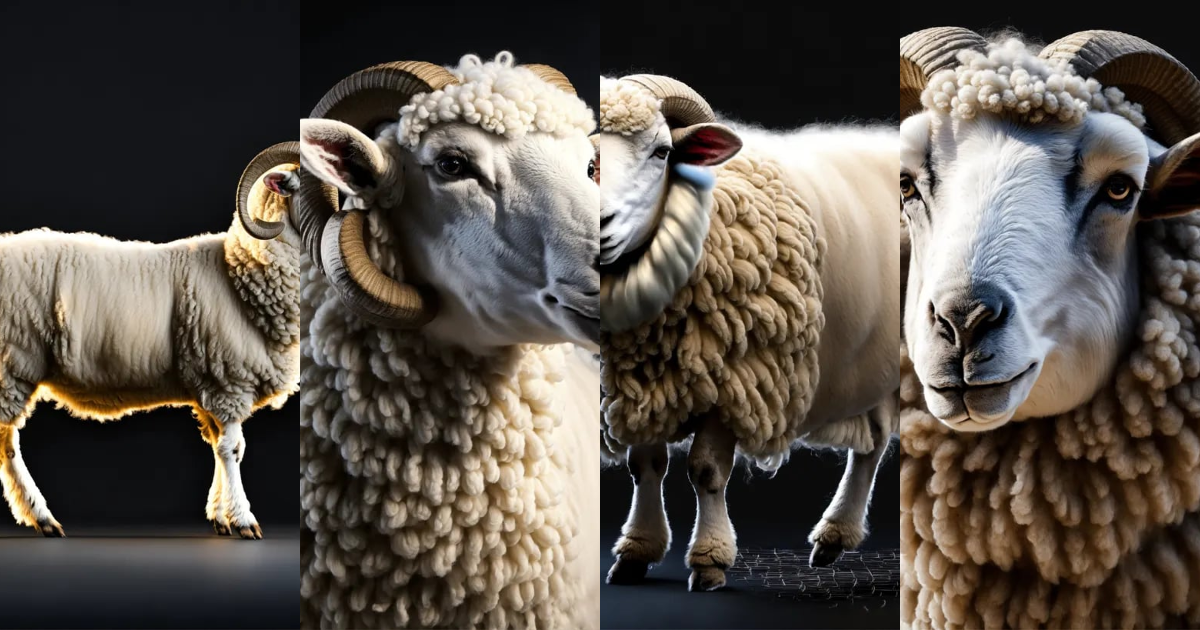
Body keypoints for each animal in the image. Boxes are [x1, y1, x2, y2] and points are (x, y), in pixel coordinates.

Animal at [0, 142, 302, 539]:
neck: (237, 272)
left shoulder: (208, 384)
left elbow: (216, 446)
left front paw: (220, 516)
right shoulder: (228, 382)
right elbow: (232, 449)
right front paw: (242, 518)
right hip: (12, 362)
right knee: (7, 445)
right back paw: (42, 516)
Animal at [596, 74, 900, 591]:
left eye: (662, 152)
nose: (599, 225)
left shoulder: (737, 379)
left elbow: (705, 470)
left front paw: (709, 559)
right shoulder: (637, 383)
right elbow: (645, 467)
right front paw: (637, 550)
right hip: (871, 362)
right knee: (874, 444)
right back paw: (835, 536)